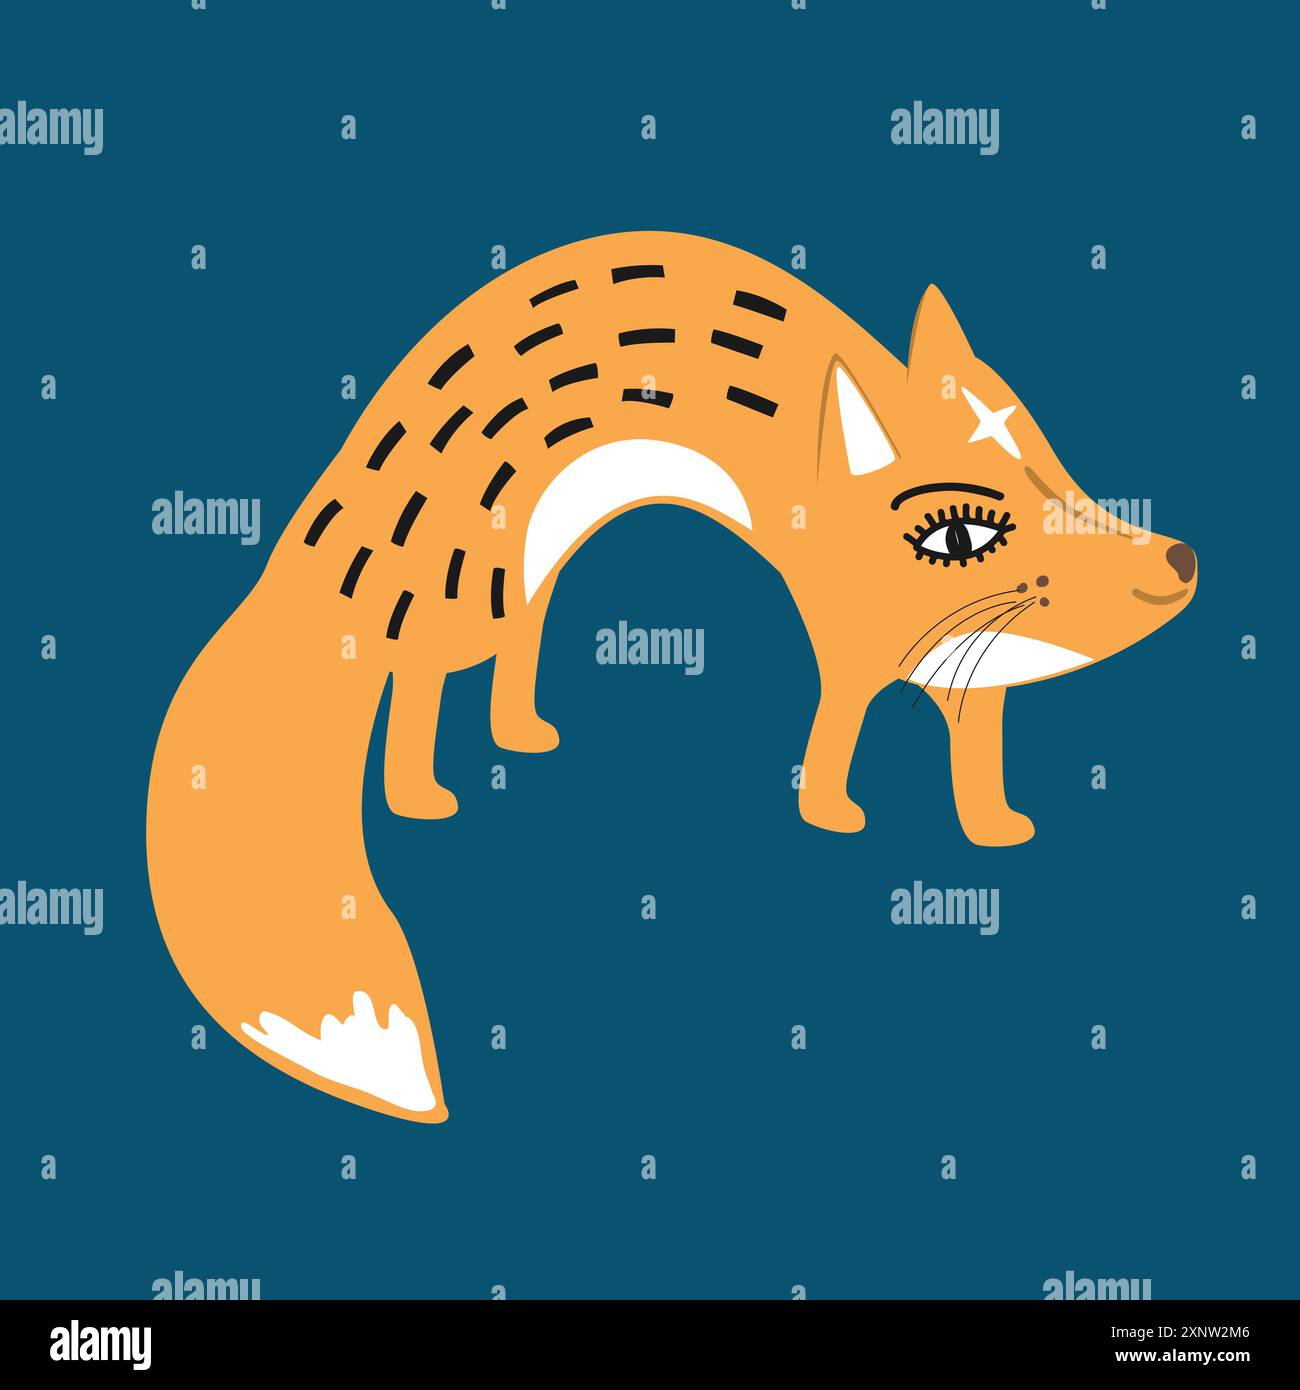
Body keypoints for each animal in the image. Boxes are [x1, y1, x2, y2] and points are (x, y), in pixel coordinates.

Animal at [146, 230, 1197, 1124]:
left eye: (1064, 477)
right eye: (962, 535)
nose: (1180, 562)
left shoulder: (970, 691)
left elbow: (975, 767)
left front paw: (996, 830)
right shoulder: (850, 656)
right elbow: (833, 740)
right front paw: (833, 816)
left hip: (531, 579)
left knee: (492, 667)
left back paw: (519, 734)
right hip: (476, 600)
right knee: (413, 684)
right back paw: (422, 795)